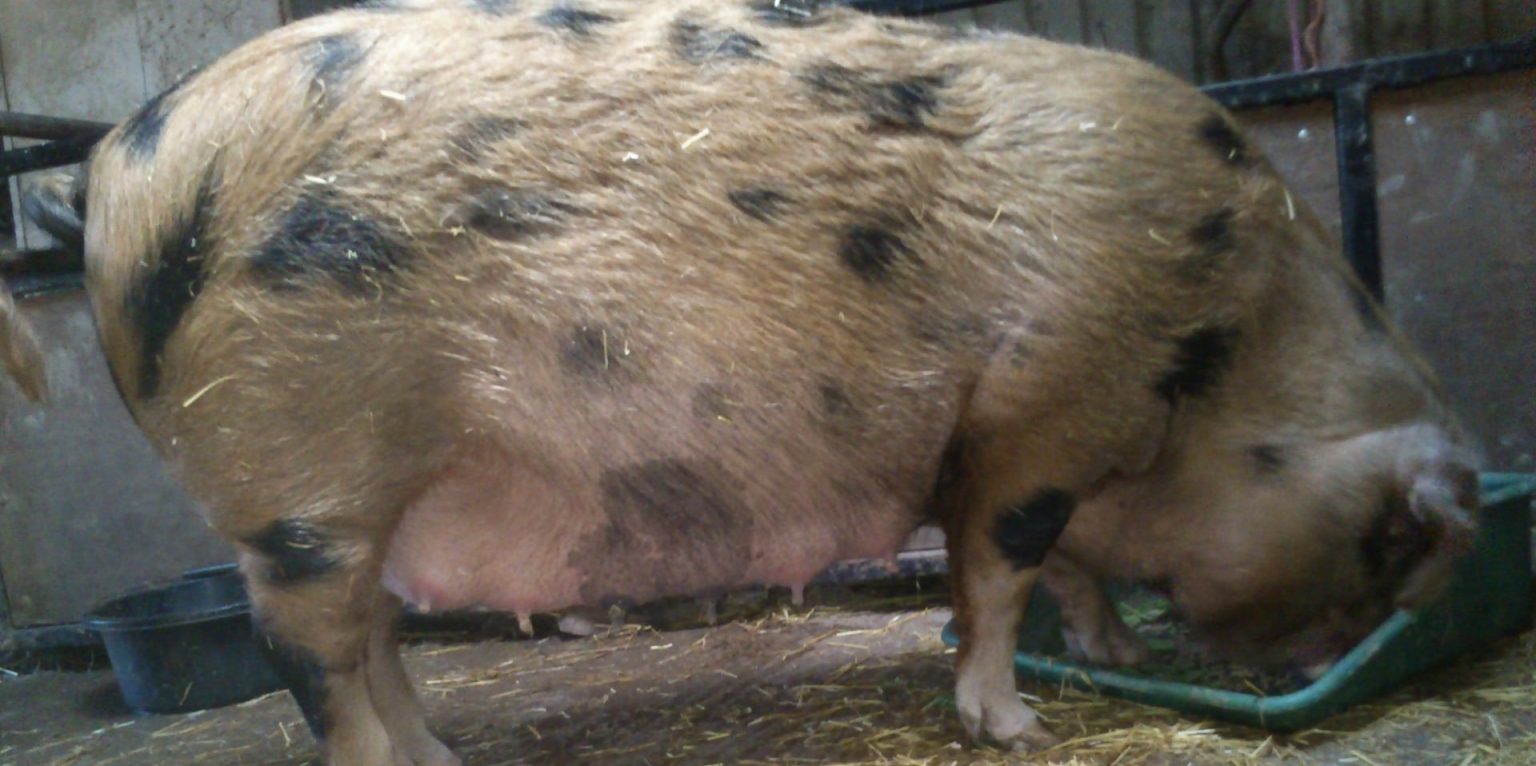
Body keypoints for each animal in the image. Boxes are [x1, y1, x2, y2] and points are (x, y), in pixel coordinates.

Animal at [6, 0, 1481, 763]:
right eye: (1379, 546)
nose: (1322, 662)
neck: (1227, 352)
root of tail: (114, 161)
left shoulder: (1033, 439)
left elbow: (1048, 572)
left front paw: (1112, 653)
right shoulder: (1043, 412)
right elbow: (1003, 571)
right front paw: (1009, 724)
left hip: (348, 502)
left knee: (372, 636)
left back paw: (439, 760)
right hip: (293, 474)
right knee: (308, 657)